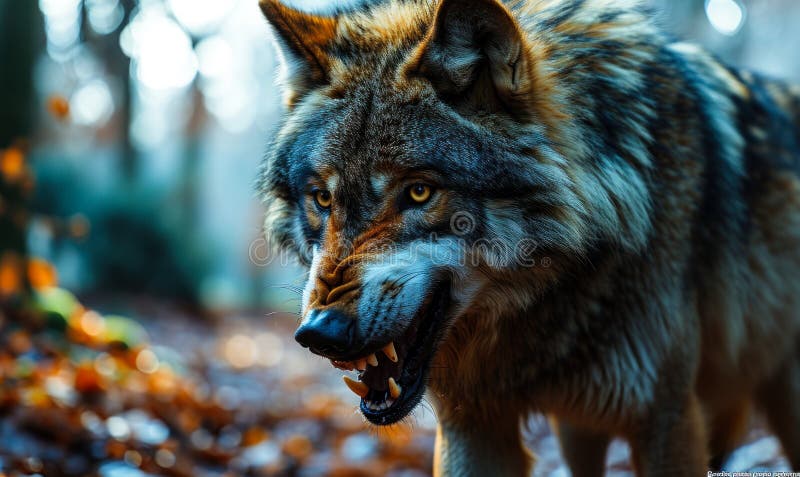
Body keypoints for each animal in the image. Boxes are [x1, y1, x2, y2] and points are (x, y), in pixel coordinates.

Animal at [257, 0, 800, 474]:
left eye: (418, 192)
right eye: (321, 199)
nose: (320, 332)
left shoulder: (666, 418)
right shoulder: (472, 426)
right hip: (580, 427)